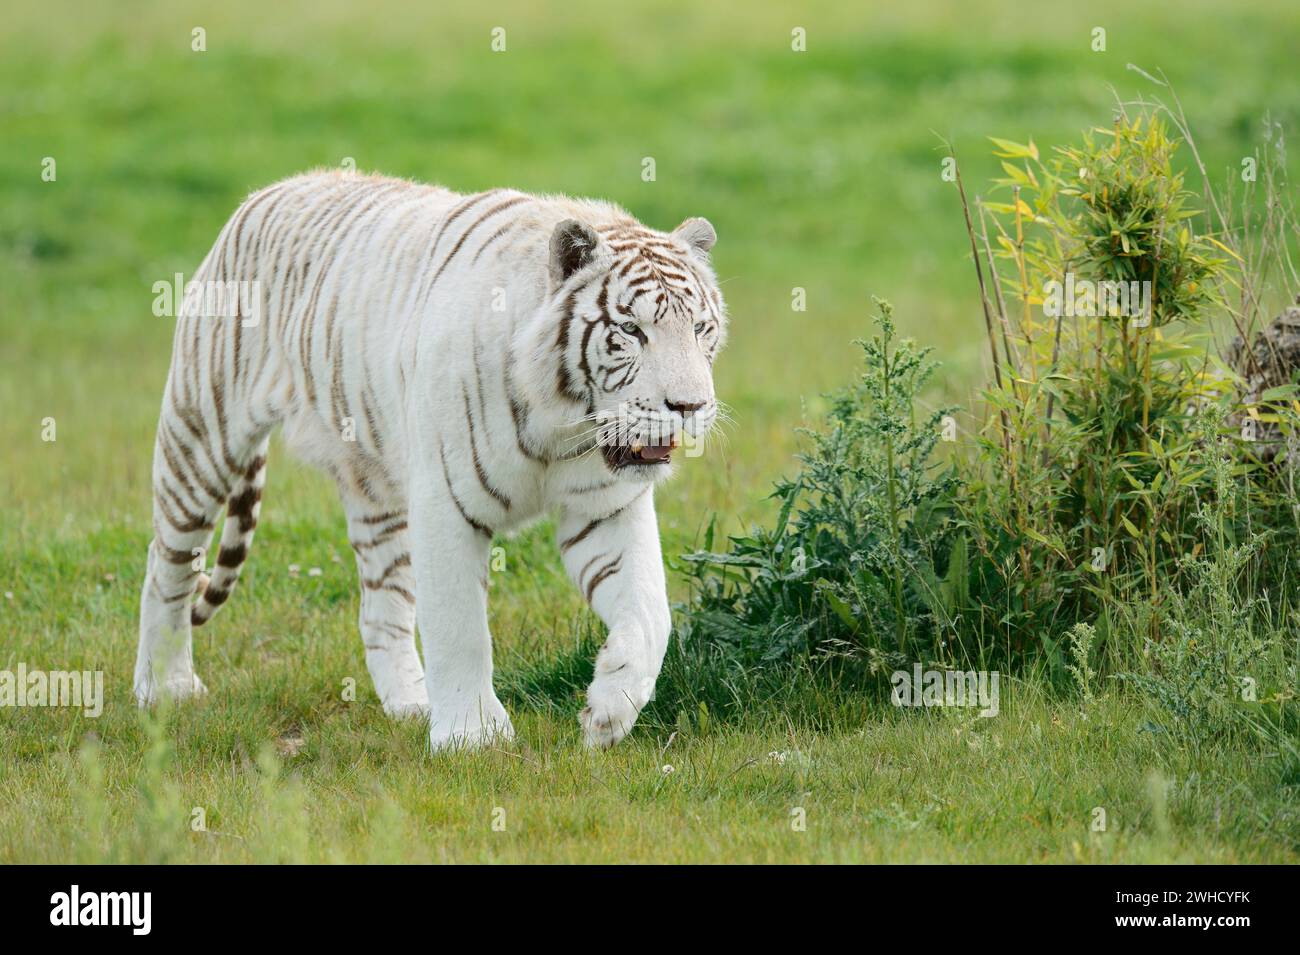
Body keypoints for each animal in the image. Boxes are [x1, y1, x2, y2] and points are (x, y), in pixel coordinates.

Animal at [134, 170, 727, 750]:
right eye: (630, 331)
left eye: (700, 328)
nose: (690, 407)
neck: (560, 423)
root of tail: (265, 193)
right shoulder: (447, 503)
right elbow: (459, 626)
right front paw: (472, 737)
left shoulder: (604, 507)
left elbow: (650, 612)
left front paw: (608, 712)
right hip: (201, 437)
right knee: (167, 566)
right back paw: (164, 688)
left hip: (376, 489)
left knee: (381, 608)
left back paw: (410, 705)